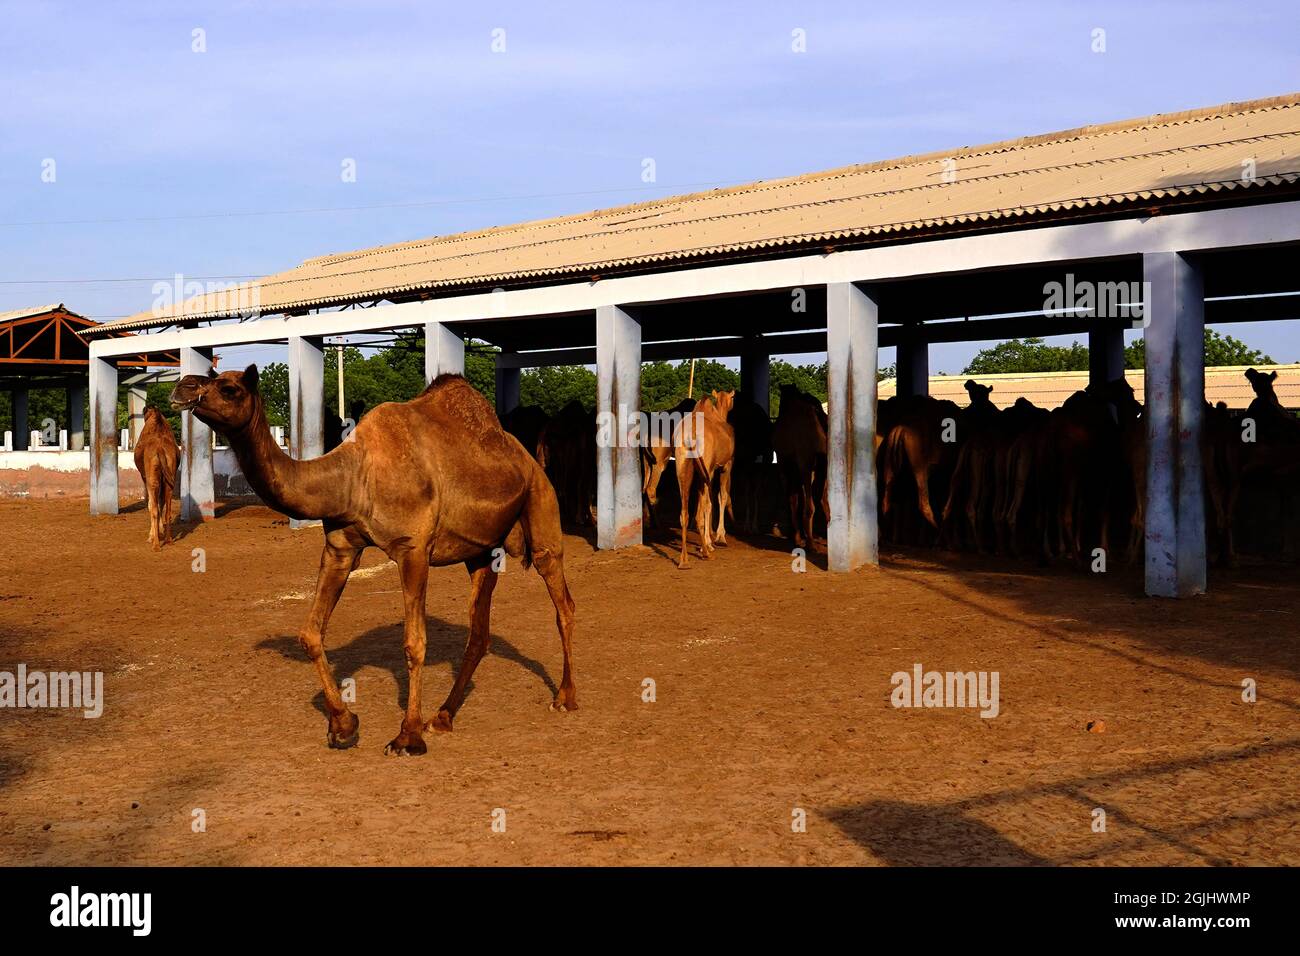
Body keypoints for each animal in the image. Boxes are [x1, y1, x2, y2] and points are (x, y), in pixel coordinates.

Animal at [133, 406, 179, 551]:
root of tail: (161, 450)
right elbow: (161, 504)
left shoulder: (145, 477)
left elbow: (150, 505)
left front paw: (151, 536)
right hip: (170, 475)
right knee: (167, 509)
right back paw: (169, 540)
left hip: (152, 477)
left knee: (153, 508)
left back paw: (156, 545)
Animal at [169, 367, 576, 756]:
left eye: (230, 388)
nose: (183, 386)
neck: (355, 477)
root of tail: (524, 454)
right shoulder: (340, 547)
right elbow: (310, 634)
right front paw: (343, 725)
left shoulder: (413, 550)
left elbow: (414, 643)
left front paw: (407, 737)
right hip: (481, 551)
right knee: (479, 631)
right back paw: (443, 716)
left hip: (541, 505)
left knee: (562, 600)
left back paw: (565, 697)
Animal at [674, 389, 736, 568]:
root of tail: (690, 435)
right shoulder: (725, 465)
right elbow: (722, 497)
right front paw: (720, 537)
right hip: (705, 468)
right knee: (704, 507)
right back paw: (706, 550)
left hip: (682, 465)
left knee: (685, 511)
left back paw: (684, 559)